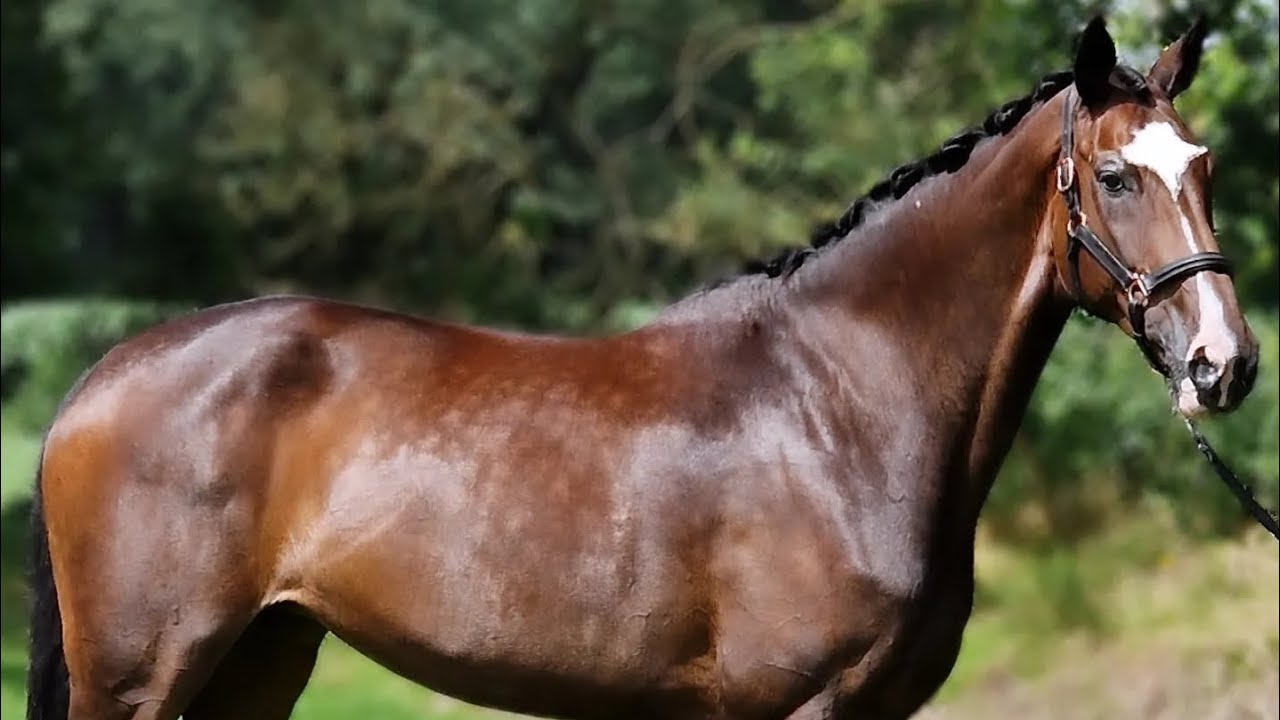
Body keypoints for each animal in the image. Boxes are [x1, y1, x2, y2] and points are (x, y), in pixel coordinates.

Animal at [27, 15, 1259, 720]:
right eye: (1114, 177)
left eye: (1201, 164)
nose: (1224, 364)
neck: (837, 407)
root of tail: (96, 385)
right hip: (140, 680)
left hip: (258, 660)